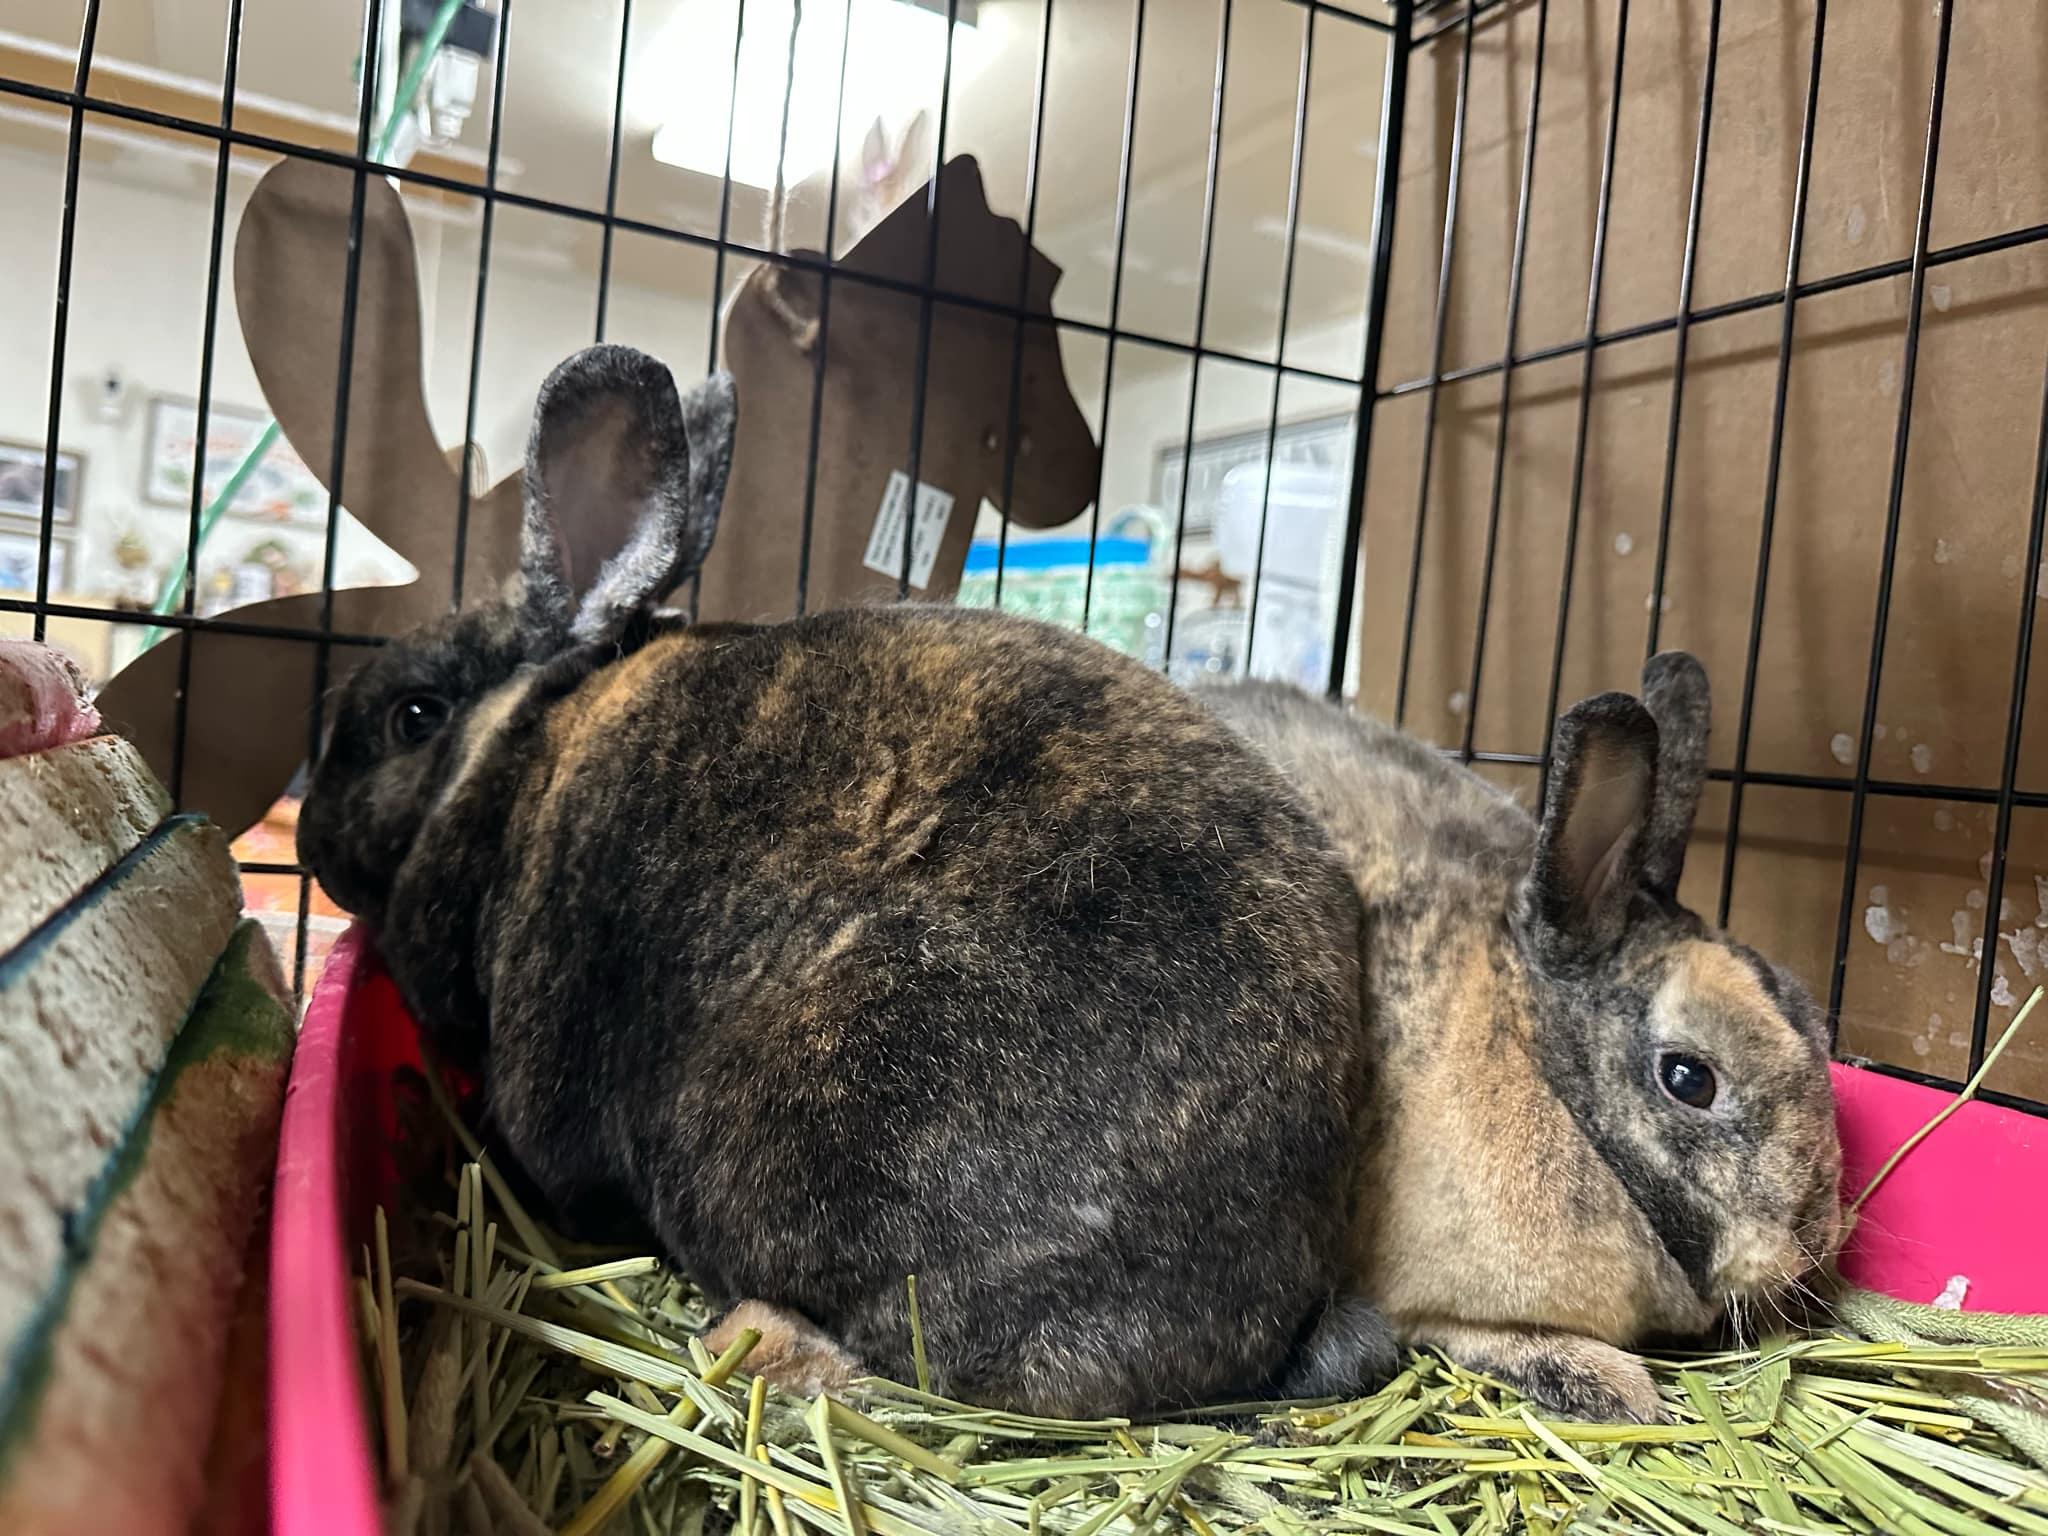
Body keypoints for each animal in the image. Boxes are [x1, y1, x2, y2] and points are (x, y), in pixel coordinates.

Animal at [1198, 663, 1844, 1423]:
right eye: (1689, 1078)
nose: (1817, 1243)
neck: (1540, 1066)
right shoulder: (1426, 1304)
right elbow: (1487, 1336)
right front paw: (1622, 1392)